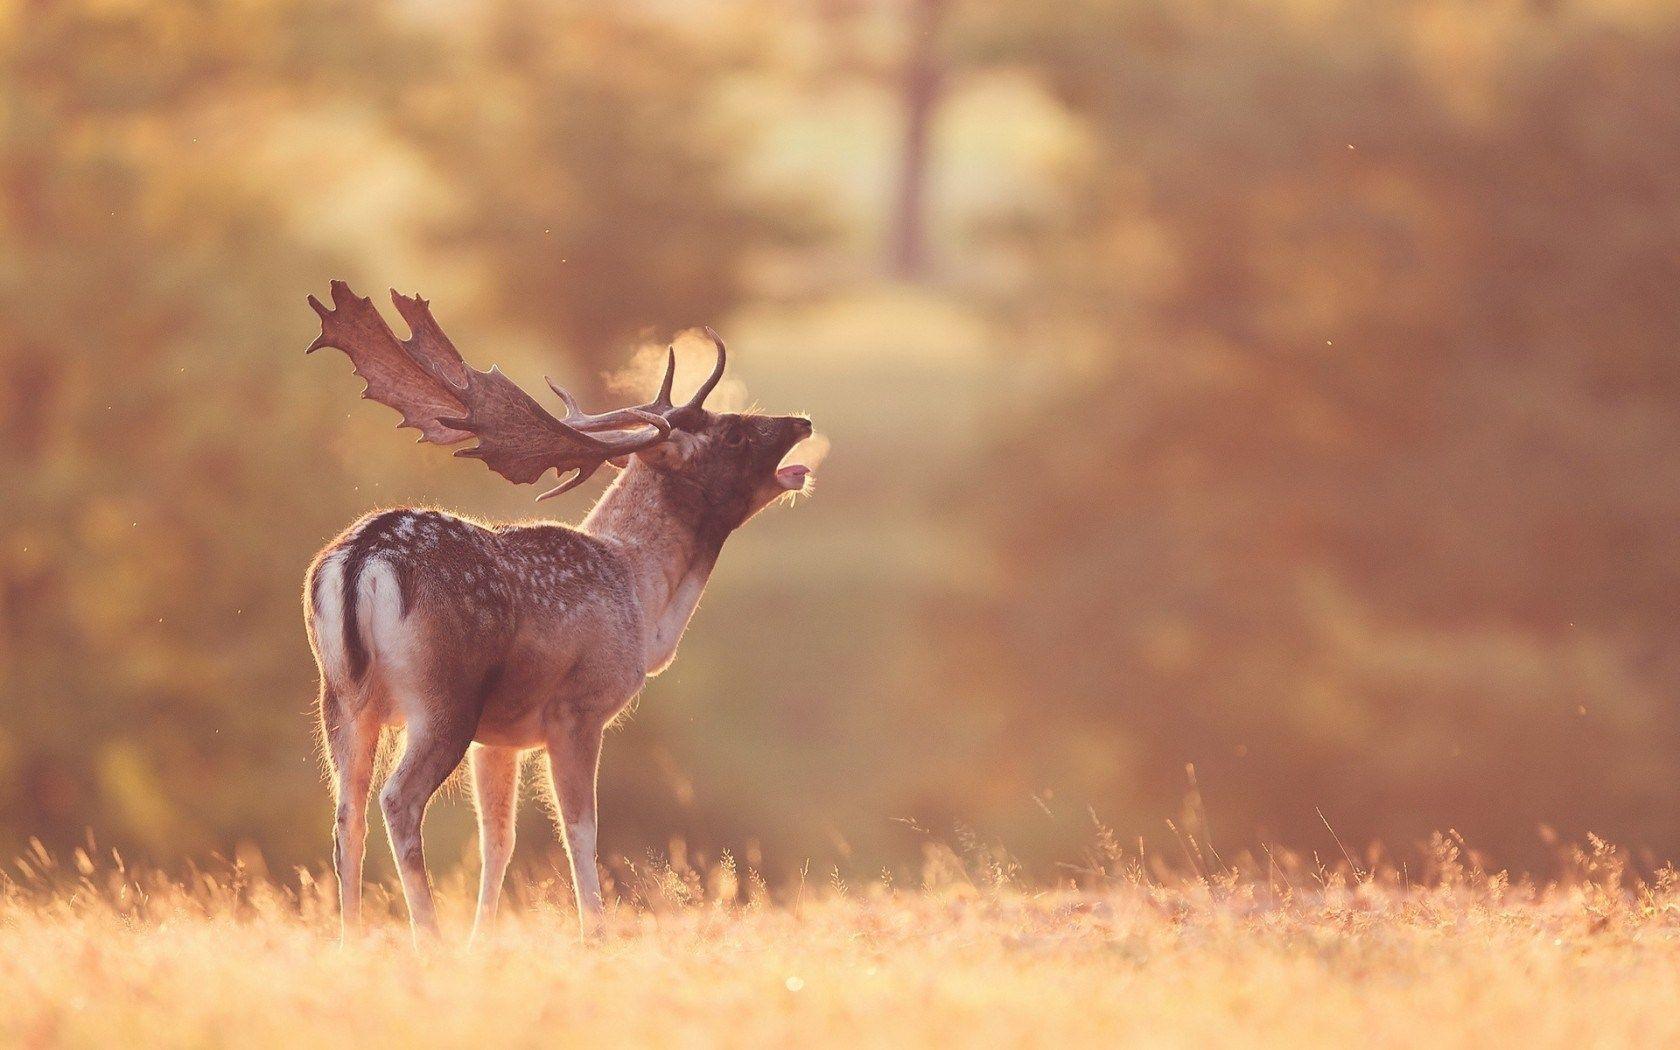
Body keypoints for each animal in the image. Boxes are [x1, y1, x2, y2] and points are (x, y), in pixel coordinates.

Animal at [300, 281, 816, 945]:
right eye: (731, 433)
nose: (802, 420)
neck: (642, 598)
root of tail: (360, 559)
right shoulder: (578, 709)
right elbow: (580, 831)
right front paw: (595, 934)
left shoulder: (499, 738)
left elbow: (498, 840)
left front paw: (484, 939)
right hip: (443, 698)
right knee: (398, 801)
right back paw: (428, 937)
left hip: (341, 699)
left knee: (347, 814)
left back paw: (352, 939)